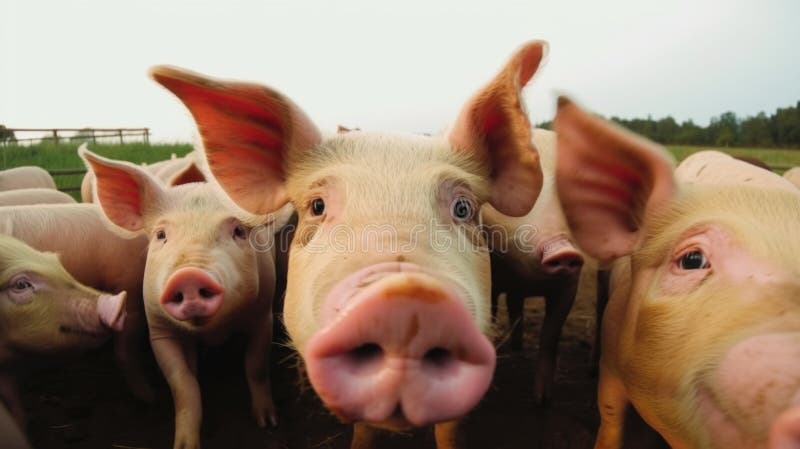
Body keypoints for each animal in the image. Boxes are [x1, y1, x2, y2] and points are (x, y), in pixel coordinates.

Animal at [81, 148, 279, 449]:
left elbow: (256, 366)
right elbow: (184, 385)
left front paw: (267, 423)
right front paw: (185, 444)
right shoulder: (160, 331)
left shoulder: (263, 316)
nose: (189, 275)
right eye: (161, 235)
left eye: (239, 232)